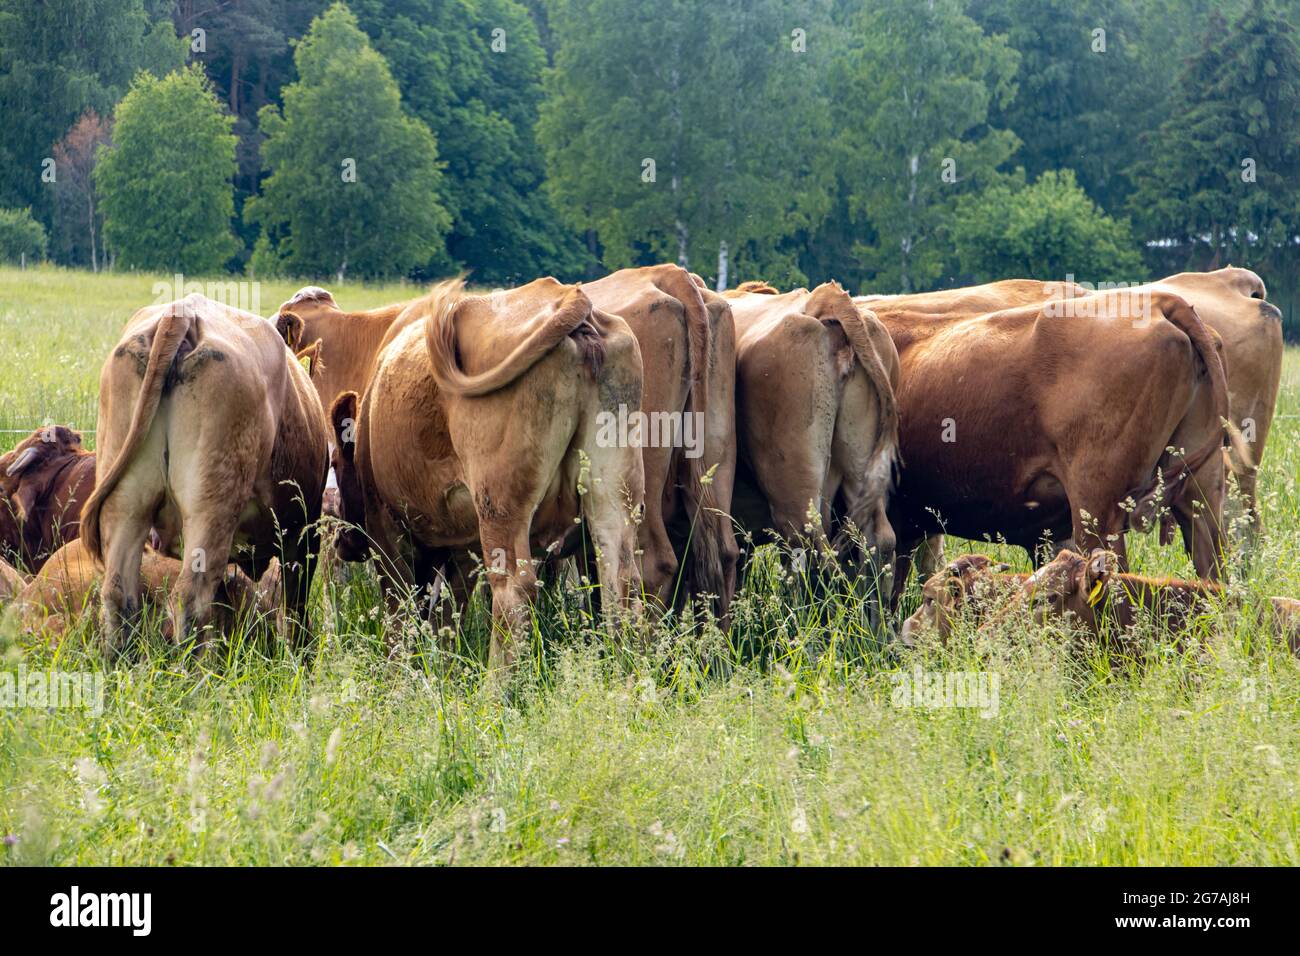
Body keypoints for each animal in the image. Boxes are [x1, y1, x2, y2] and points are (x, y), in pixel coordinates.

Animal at [79, 293, 330, 652]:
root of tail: (182, 314)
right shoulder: (302, 531)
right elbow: (295, 610)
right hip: (210, 509)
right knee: (190, 600)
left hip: (126, 505)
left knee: (118, 595)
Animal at [329, 277, 645, 669]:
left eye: (335, 463)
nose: (342, 542)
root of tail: (564, 296)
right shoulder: (461, 548)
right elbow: (449, 612)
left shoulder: (387, 532)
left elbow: (399, 615)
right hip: (613, 496)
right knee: (622, 580)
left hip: (501, 507)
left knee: (513, 591)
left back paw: (496, 683)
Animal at [724, 280, 900, 623]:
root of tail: (827, 300)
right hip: (857, 464)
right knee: (878, 540)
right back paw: (874, 631)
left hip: (793, 486)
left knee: (809, 547)